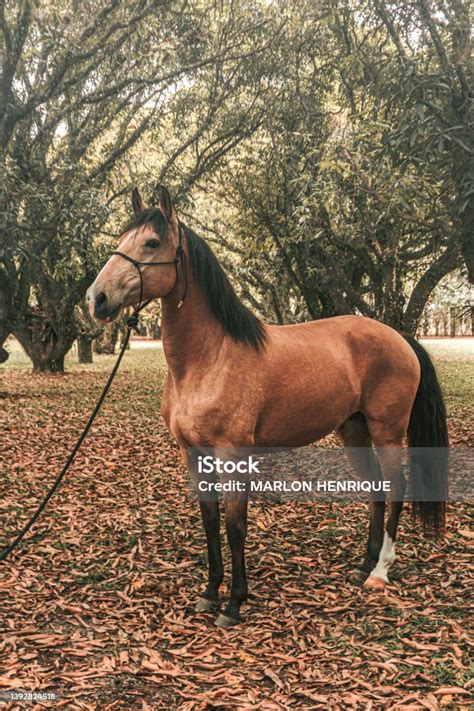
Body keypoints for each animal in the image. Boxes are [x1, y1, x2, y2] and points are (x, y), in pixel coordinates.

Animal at [86, 186, 449, 628]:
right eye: (122, 238)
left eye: (152, 243)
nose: (96, 299)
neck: (210, 358)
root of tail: (399, 337)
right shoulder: (193, 454)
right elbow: (209, 523)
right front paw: (210, 592)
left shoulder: (232, 455)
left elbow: (235, 526)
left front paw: (234, 603)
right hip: (354, 430)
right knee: (376, 489)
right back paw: (364, 563)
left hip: (387, 431)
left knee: (395, 487)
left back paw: (380, 571)